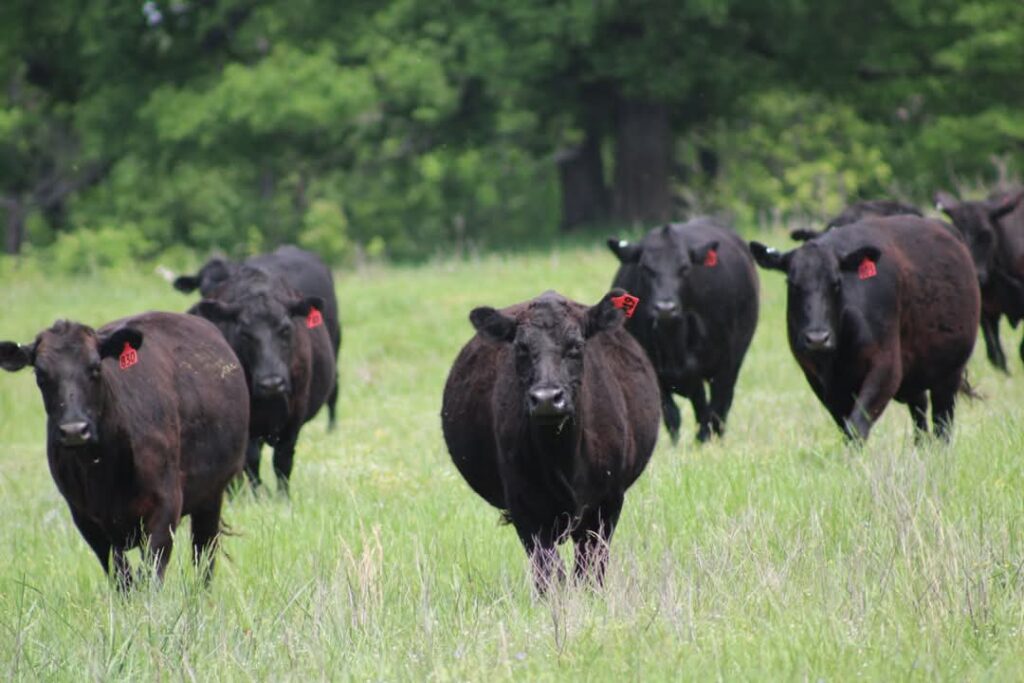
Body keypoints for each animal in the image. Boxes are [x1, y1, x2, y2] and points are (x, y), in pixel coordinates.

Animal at [0, 312, 248, 587]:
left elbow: (152, 573)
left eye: (95, 368)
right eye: (40, 375)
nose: (74, 430)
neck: (104, 469)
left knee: (204, 554)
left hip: (212, 495)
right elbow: (122, 577)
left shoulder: (166, 506)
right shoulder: (87, 520)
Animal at [190, 266, 336, 495]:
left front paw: (283, 497)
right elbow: (251, 460)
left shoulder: (296, 413)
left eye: (285, 328)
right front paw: (258, 495)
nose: (272, 383)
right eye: (245, 333)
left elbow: (283, 459)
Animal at [441, 290, 660, 591]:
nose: (546, 399)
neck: (561, 456)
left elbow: (590, 568)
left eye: (576, 346)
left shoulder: (608, 502)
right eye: (521, 348)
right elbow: (549, 572)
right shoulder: (524, 506)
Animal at [607, 219, 759, 443]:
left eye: (685, 268)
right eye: (646, 268)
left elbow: (713, 411)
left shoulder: (724, 365)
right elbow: (672, 414)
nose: (665, 308)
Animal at [750, 215, 980, 441]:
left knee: (942, 423)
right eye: (792, 284)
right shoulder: (819, 380)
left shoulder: (886, 367)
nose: (817, 338)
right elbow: (845, 428)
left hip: (950, 372)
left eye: (836, 282)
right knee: (920, 411)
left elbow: (856, 426)